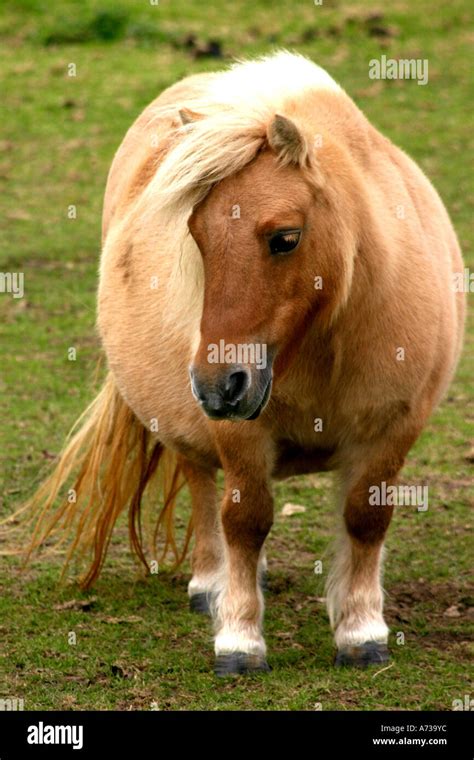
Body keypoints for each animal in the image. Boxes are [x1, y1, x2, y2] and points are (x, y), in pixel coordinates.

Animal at [22, 51, 465, 675]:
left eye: (286, 238)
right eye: (196, 235)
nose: (217, 384)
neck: (323, 343)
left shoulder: (394, 429)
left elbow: (364, 518)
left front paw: (361, 632)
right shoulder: (240, 437)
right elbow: (246, 519)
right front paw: (238, 639)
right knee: (205, 491)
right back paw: (213, 584)